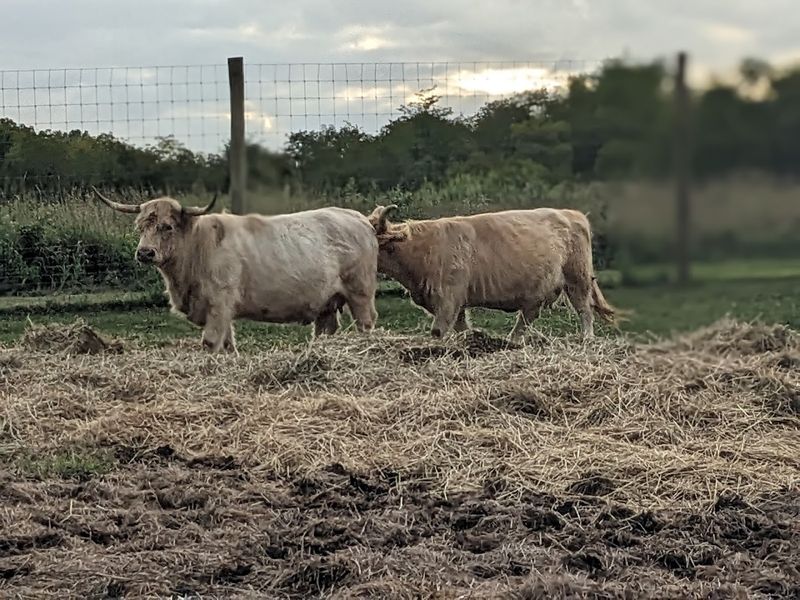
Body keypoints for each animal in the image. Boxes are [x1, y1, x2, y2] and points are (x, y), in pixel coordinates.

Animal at [94, 188, 379, 353]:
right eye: (141, 226)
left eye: (167, 227)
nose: (144, 253)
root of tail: (359, 218)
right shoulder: (221, 311)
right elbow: (227, 345)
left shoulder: (219, 303)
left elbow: (210, 343)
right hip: (326, 303)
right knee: (324, 331)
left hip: (360, 294)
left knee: (365, 324)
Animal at [367, 204, 615, 341]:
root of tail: (572, 214)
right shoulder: (453, 303)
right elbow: (461, 327)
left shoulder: (448, 298)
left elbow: (438, 330)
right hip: (540, 290)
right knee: (527, 317)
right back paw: (513, 340)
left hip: (577, 279)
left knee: (584, 310)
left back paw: (587, 338)